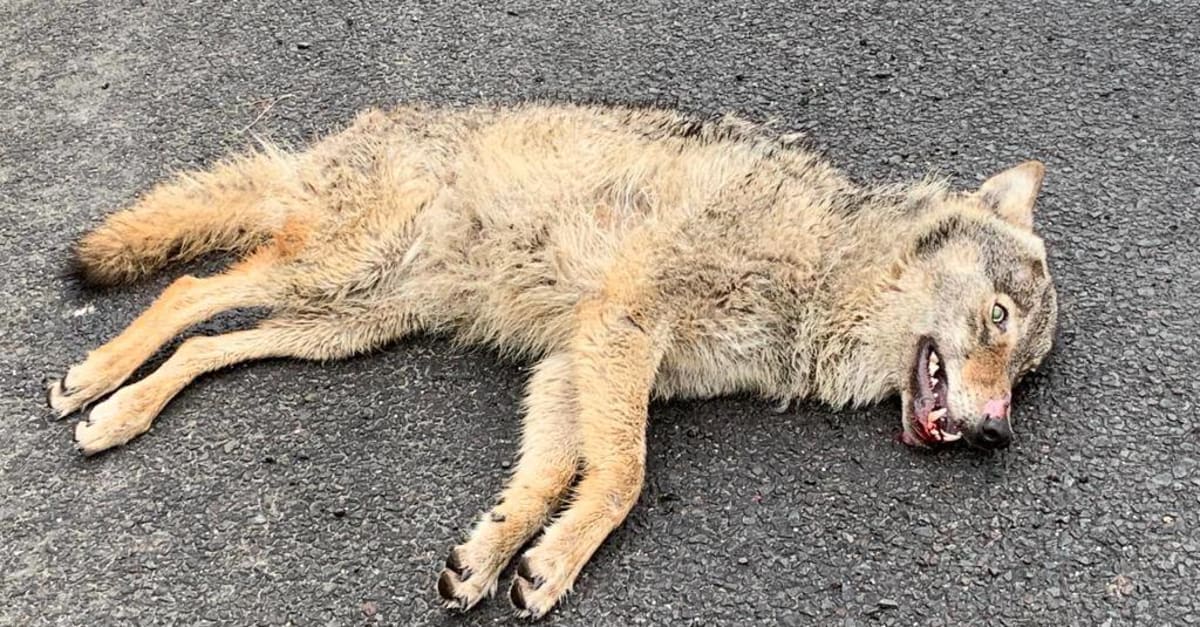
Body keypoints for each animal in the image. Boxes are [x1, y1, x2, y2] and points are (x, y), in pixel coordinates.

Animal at [45, 103, 1058, 618]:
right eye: (999, 319)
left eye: (1023, 376)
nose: (997, 434)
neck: (823, 262)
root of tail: (335, 143)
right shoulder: (621, 328)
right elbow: (622, 478)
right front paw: (556, 563)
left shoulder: (574, 361)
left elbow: (544, 479)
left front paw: (495, 553)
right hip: (334, 273)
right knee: (188, 292)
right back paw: (94, 381)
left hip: (344, 324)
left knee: (210, 340)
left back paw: (120, 414)